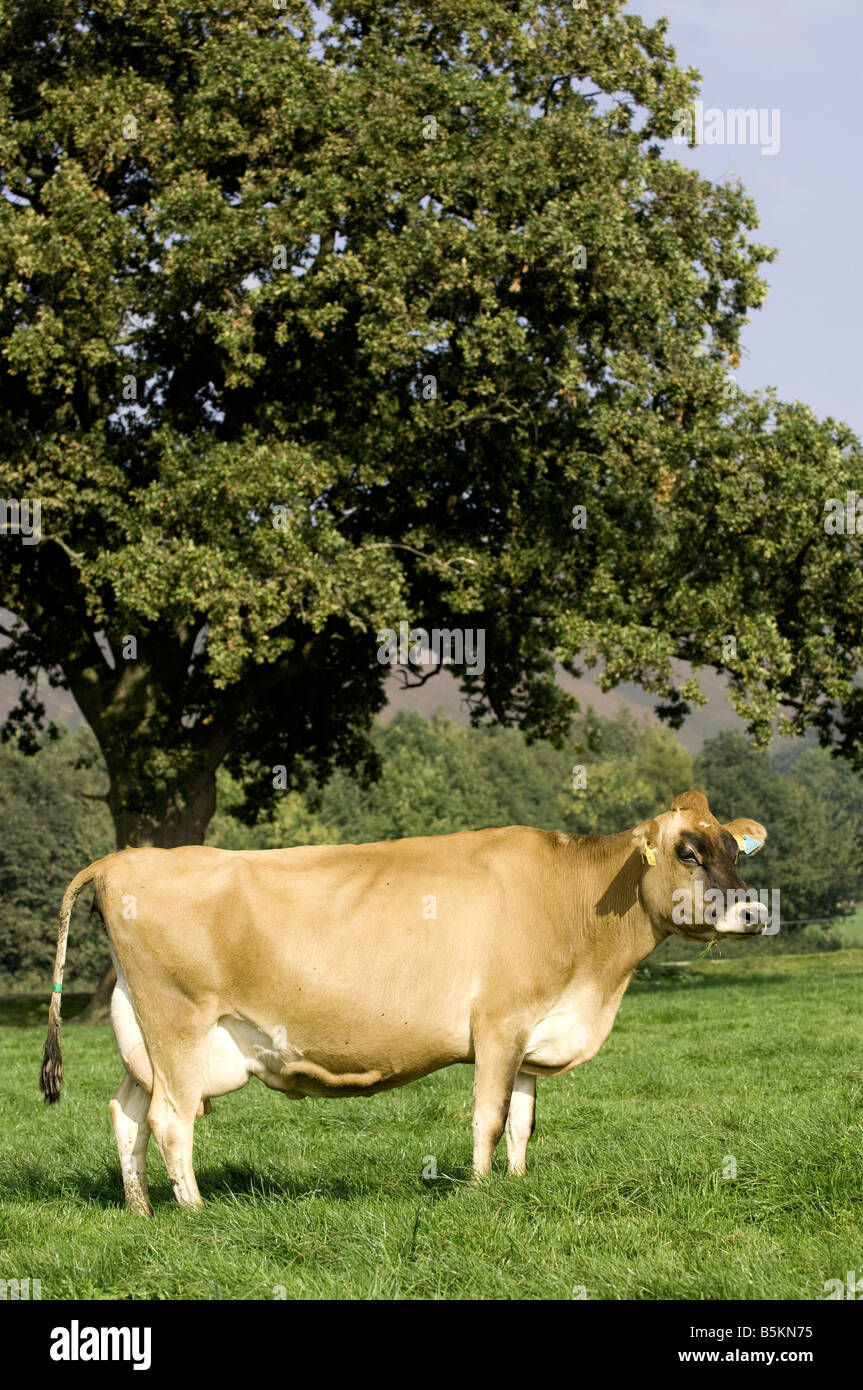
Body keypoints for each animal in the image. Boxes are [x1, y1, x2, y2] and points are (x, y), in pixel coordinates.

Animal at [40, 790, 769, 1214]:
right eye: (687, 852)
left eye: (735, 851)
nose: (755, 913)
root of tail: (121, 860)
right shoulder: (498, 1025)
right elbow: (487, 1117)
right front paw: (480, 1192)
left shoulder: (534, 1034)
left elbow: (522, 1122)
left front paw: (517, 1184)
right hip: (180, 1026)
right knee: (170, 1119)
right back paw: (193, 1213)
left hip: (143, 1035)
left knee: (127, 1113)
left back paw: (141, 1211)